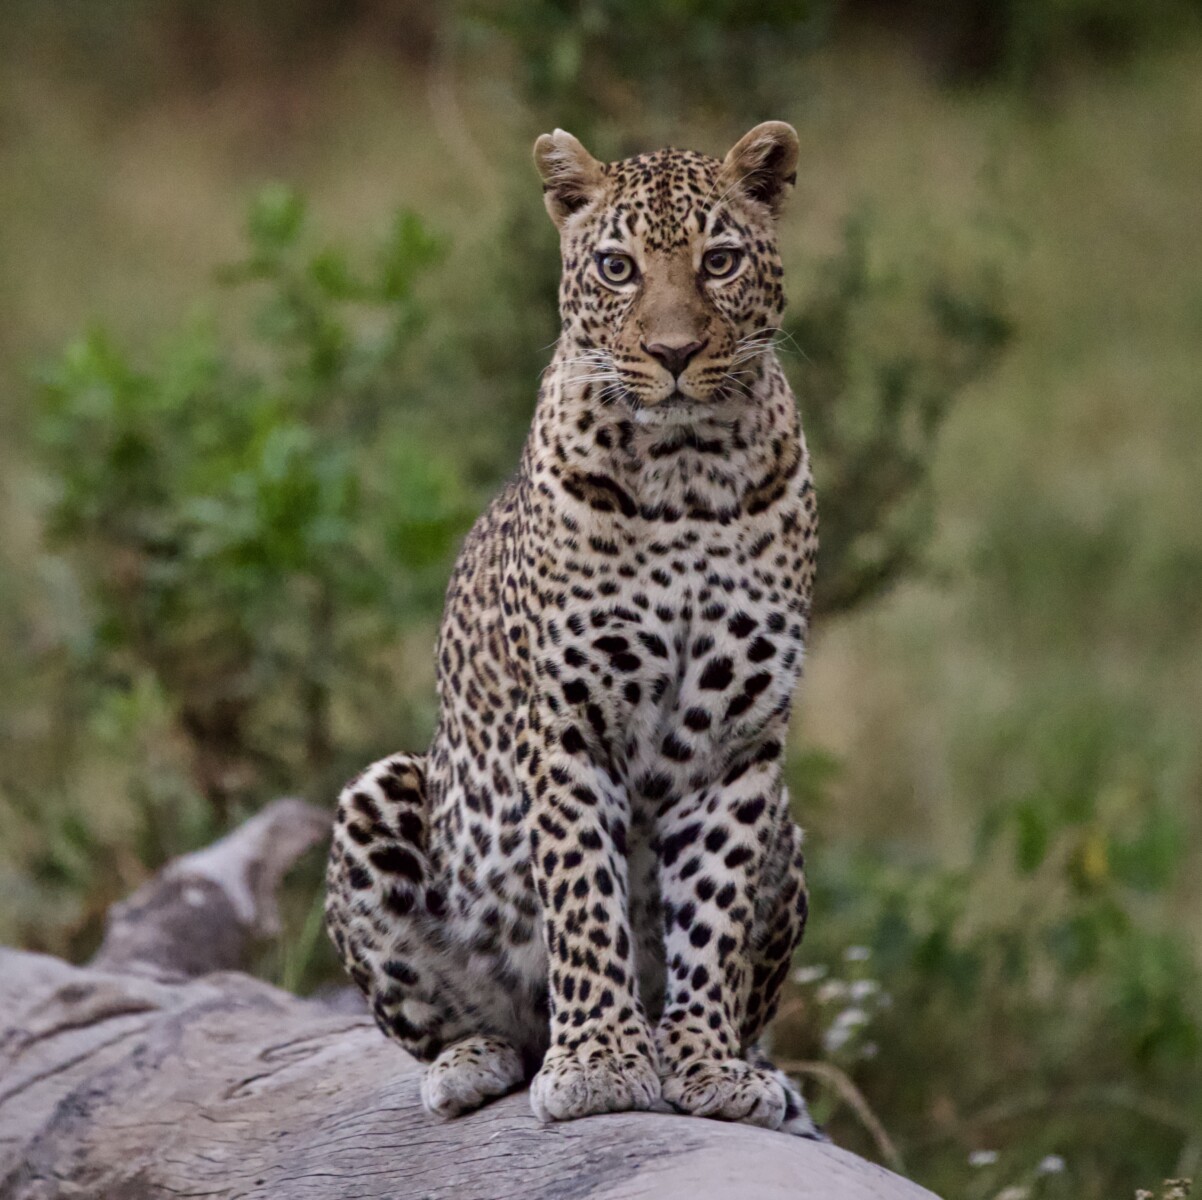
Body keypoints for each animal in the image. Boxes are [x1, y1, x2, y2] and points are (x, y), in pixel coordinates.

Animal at [325, 121, 822, 1137]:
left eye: (718, 261)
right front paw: (599, 1061)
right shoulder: (567, 719)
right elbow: (584, 894)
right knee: (458, 1026)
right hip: (381, 794)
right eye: (617, 267)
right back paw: (473, 1063)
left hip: (792, 841)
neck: (687, 470)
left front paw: (706, 1063)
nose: (673, 352)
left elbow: (713, 904)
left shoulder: (741, 738)